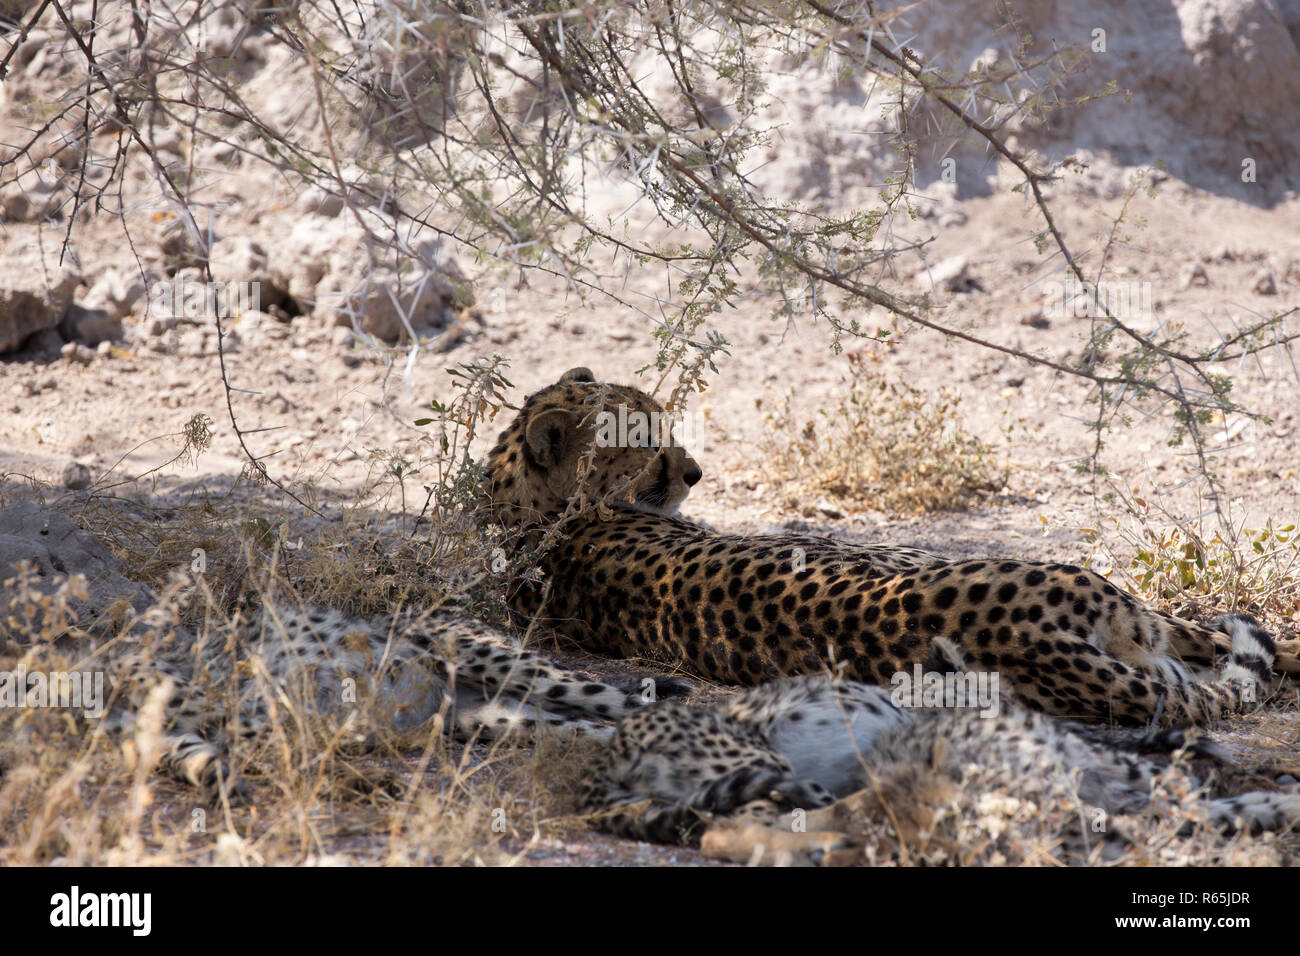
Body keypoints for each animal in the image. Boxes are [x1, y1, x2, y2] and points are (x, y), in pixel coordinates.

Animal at [485, 367, 1298, 728]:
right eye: (646, 443)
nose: (693, 472)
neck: (535, 512)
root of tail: (1022, 641)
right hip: (1118, 608)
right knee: (1220, 643)